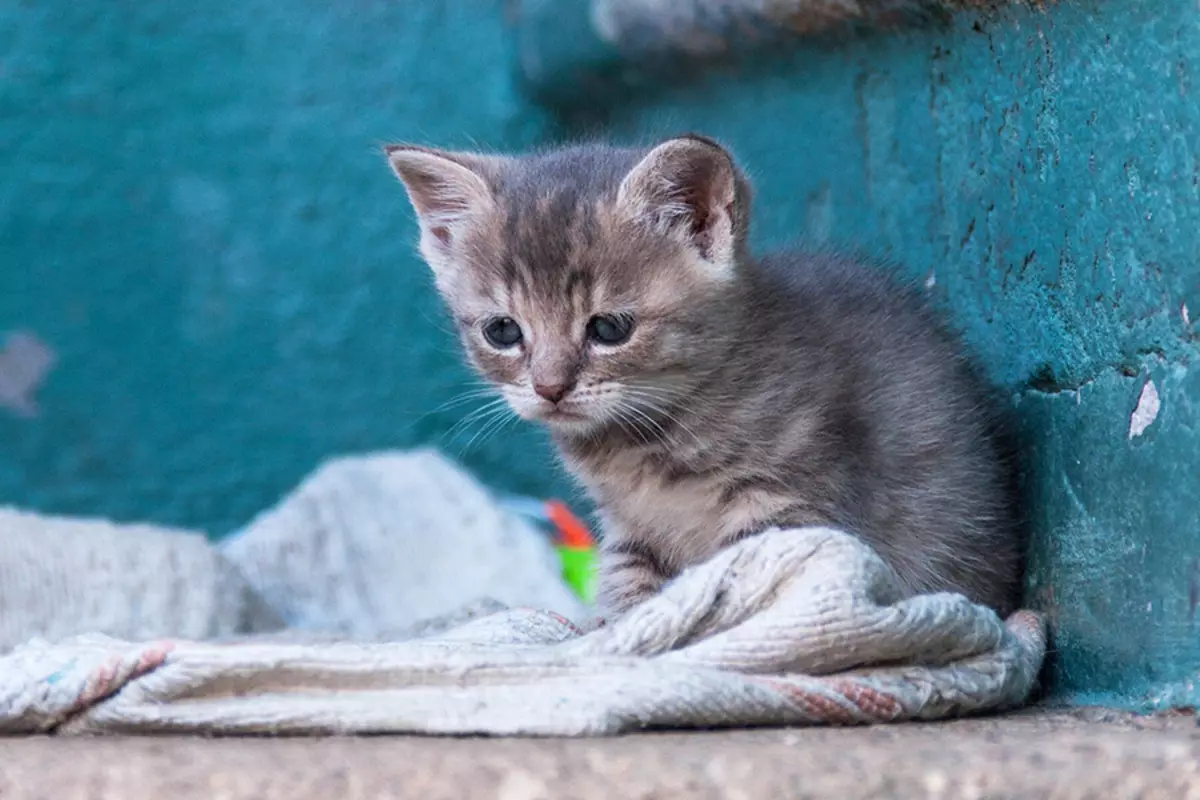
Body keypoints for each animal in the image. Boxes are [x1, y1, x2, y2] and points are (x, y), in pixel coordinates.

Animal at [384, 134, 1022, 618]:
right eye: (503, 332)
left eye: (609, 328)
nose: (549, 387)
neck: (645, 442)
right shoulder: (629, 528)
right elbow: (627, 587)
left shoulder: (787, 503)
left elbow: (751, 585)